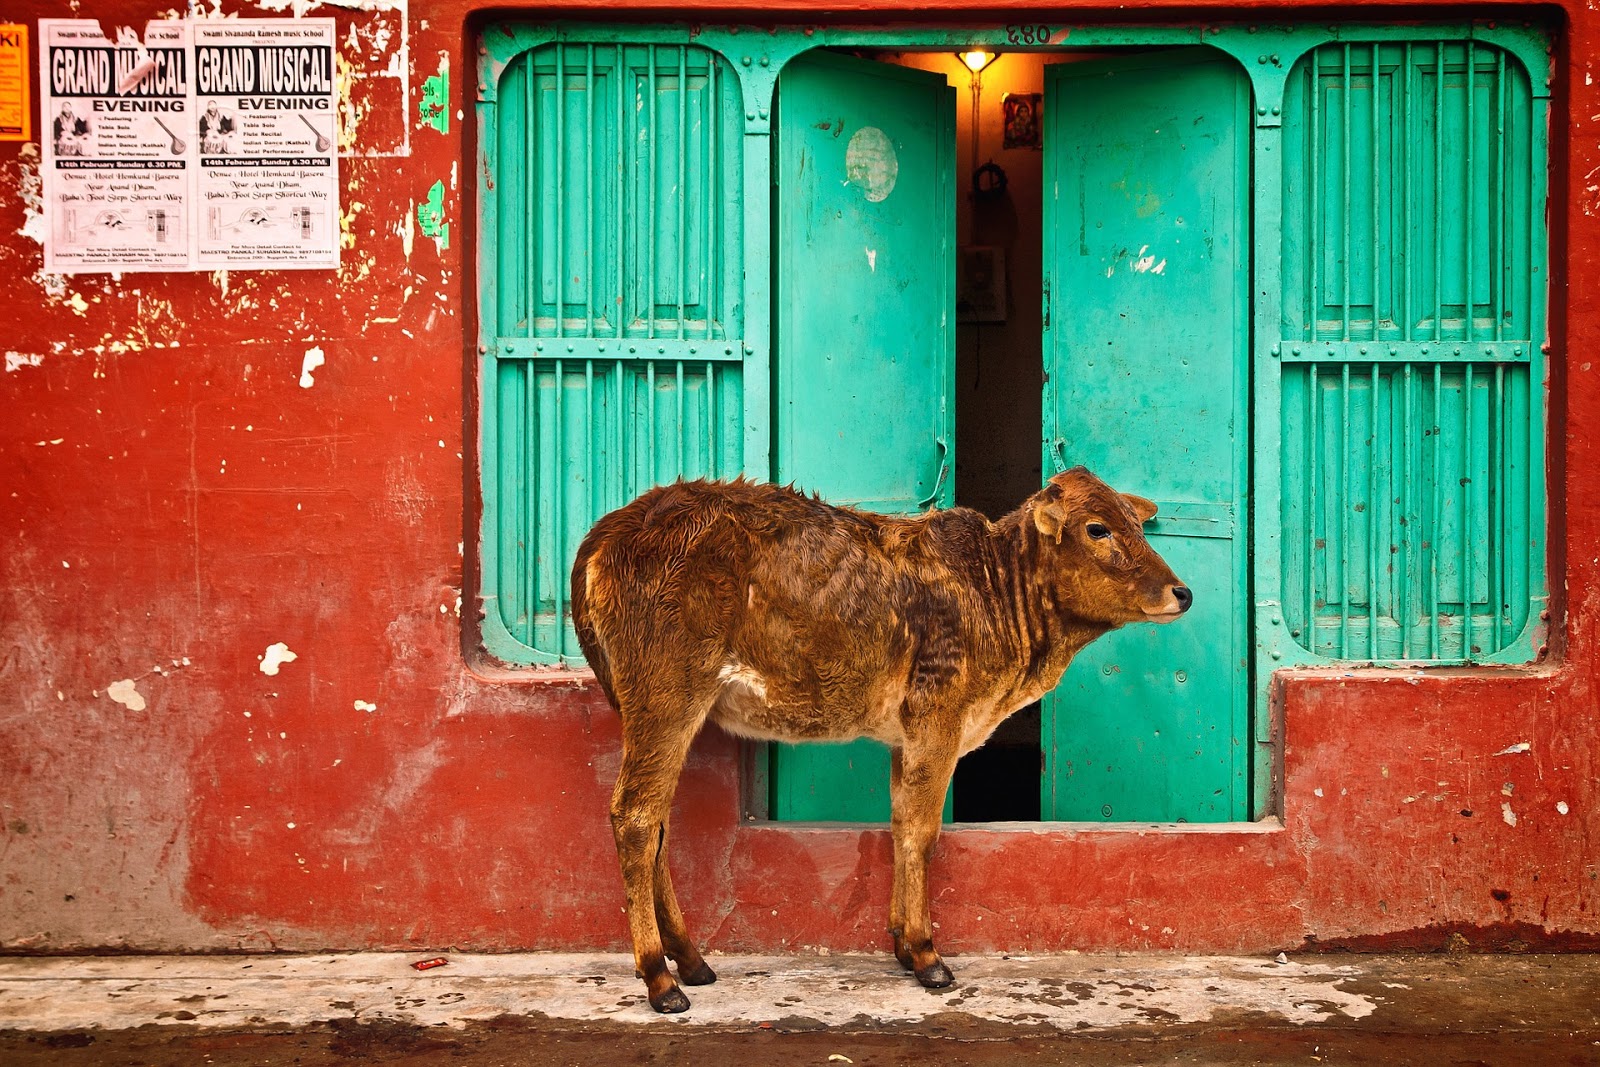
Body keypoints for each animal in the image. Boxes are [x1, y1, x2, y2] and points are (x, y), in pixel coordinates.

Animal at [570, 466, 1191, 1013]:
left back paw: (692, 960)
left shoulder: (907, 736)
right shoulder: (938, 718)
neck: (998, 595)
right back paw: (660, 979)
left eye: (1136, 523)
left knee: (658, 824)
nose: (1181, 592)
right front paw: (926, 954)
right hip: (667, 697)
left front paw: (900, 944)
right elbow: (922, 831)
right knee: (635, 817)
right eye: (1098, 528)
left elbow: (899, 824)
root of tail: (615, 526)